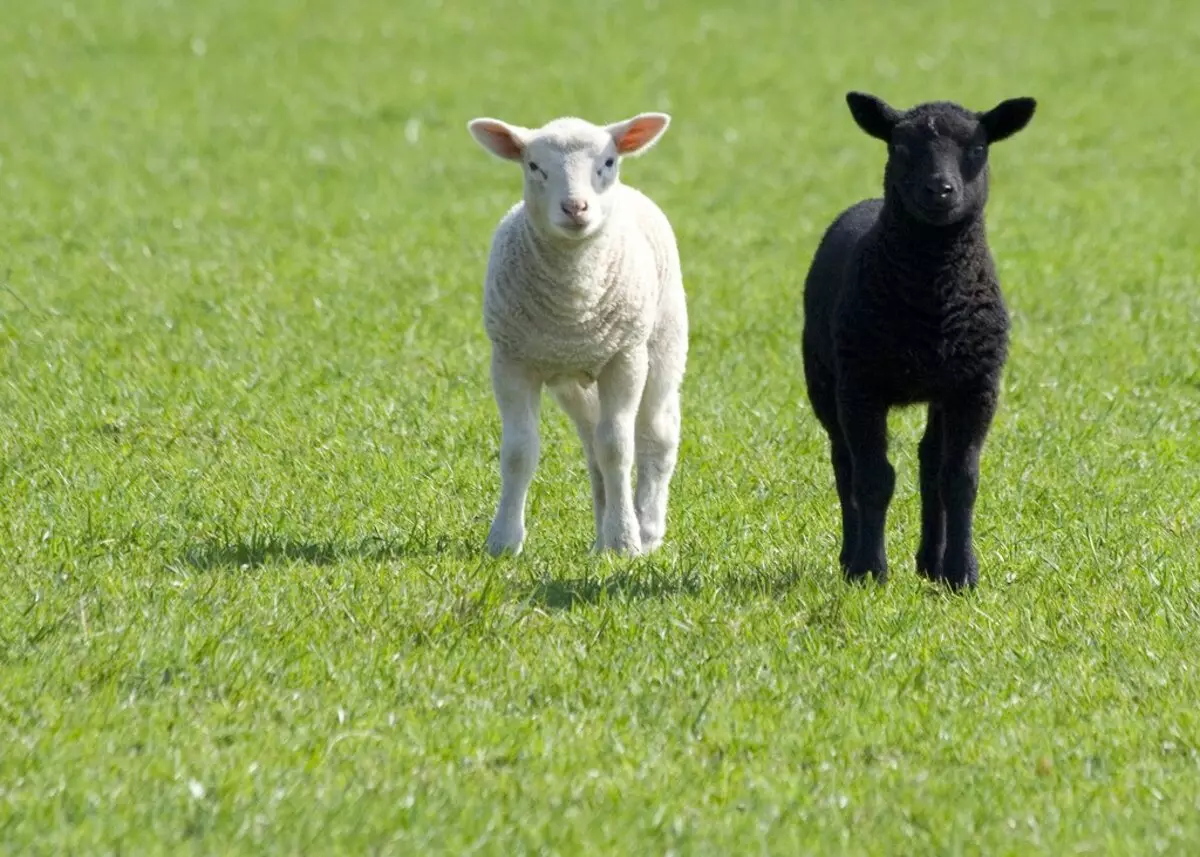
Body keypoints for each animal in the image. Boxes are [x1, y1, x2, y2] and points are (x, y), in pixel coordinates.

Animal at [470, 110, 696, 556]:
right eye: (534, 166)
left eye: (607, 162)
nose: (575, 207)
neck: (574, 303)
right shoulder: (511, 360)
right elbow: (519, 451)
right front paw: (503, 541)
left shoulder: (625, 359)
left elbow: (618, 449)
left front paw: (626, 543)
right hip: (571, 381)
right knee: (592, 444)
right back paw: (601, 539)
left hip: (663, 344)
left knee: (655, 434)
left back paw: (647, 528)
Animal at [801, 93, 1036, 588]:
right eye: (900, 148)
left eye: (978, 149)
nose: (939, 191)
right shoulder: (862, 385)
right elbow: (874, 478)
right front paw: (870, 570)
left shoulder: (975, 386)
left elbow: (960, 479)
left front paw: (962, 574)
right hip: (824, 380)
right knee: (843, 464)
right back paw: (850, 555)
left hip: (941, 388)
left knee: (930, 463)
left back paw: (931, 561)